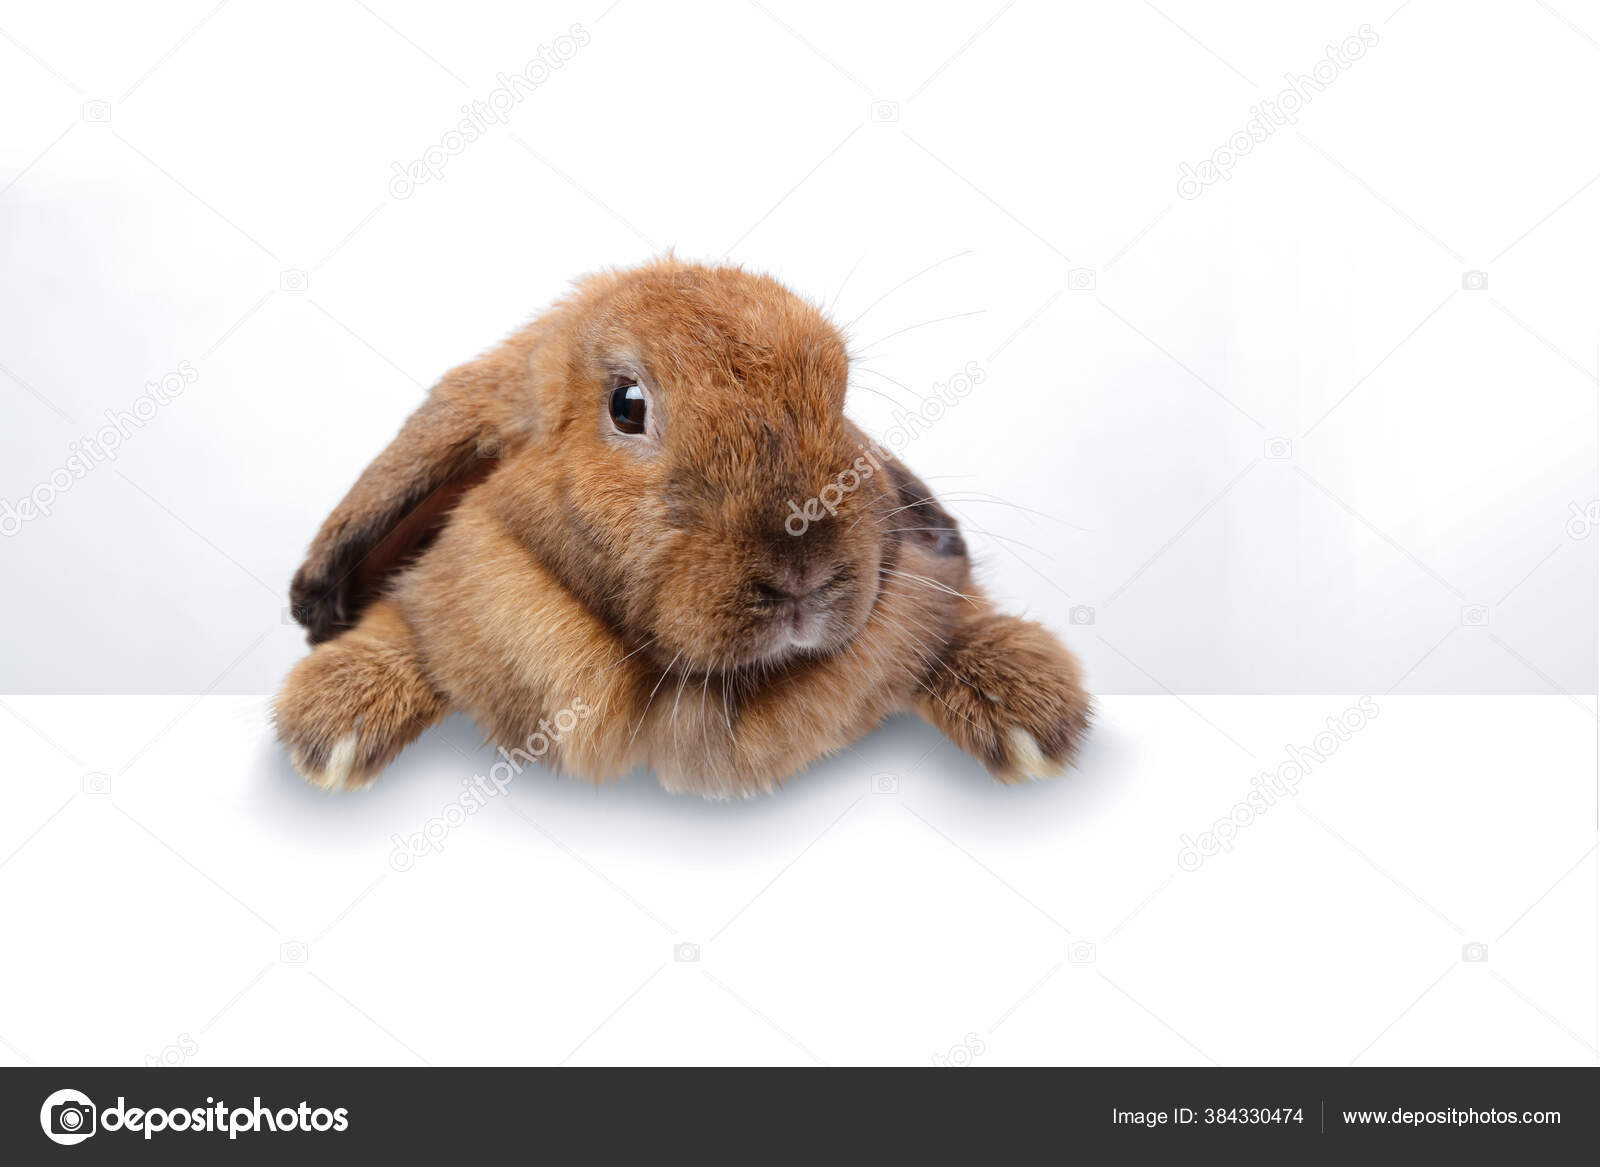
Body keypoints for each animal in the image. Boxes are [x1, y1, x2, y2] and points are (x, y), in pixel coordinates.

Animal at [274, 257, 1091, 799]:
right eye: (627, 405)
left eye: (840, 398)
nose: (802, 575)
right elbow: (403, 624)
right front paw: (330, 724)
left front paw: (1035, 707)